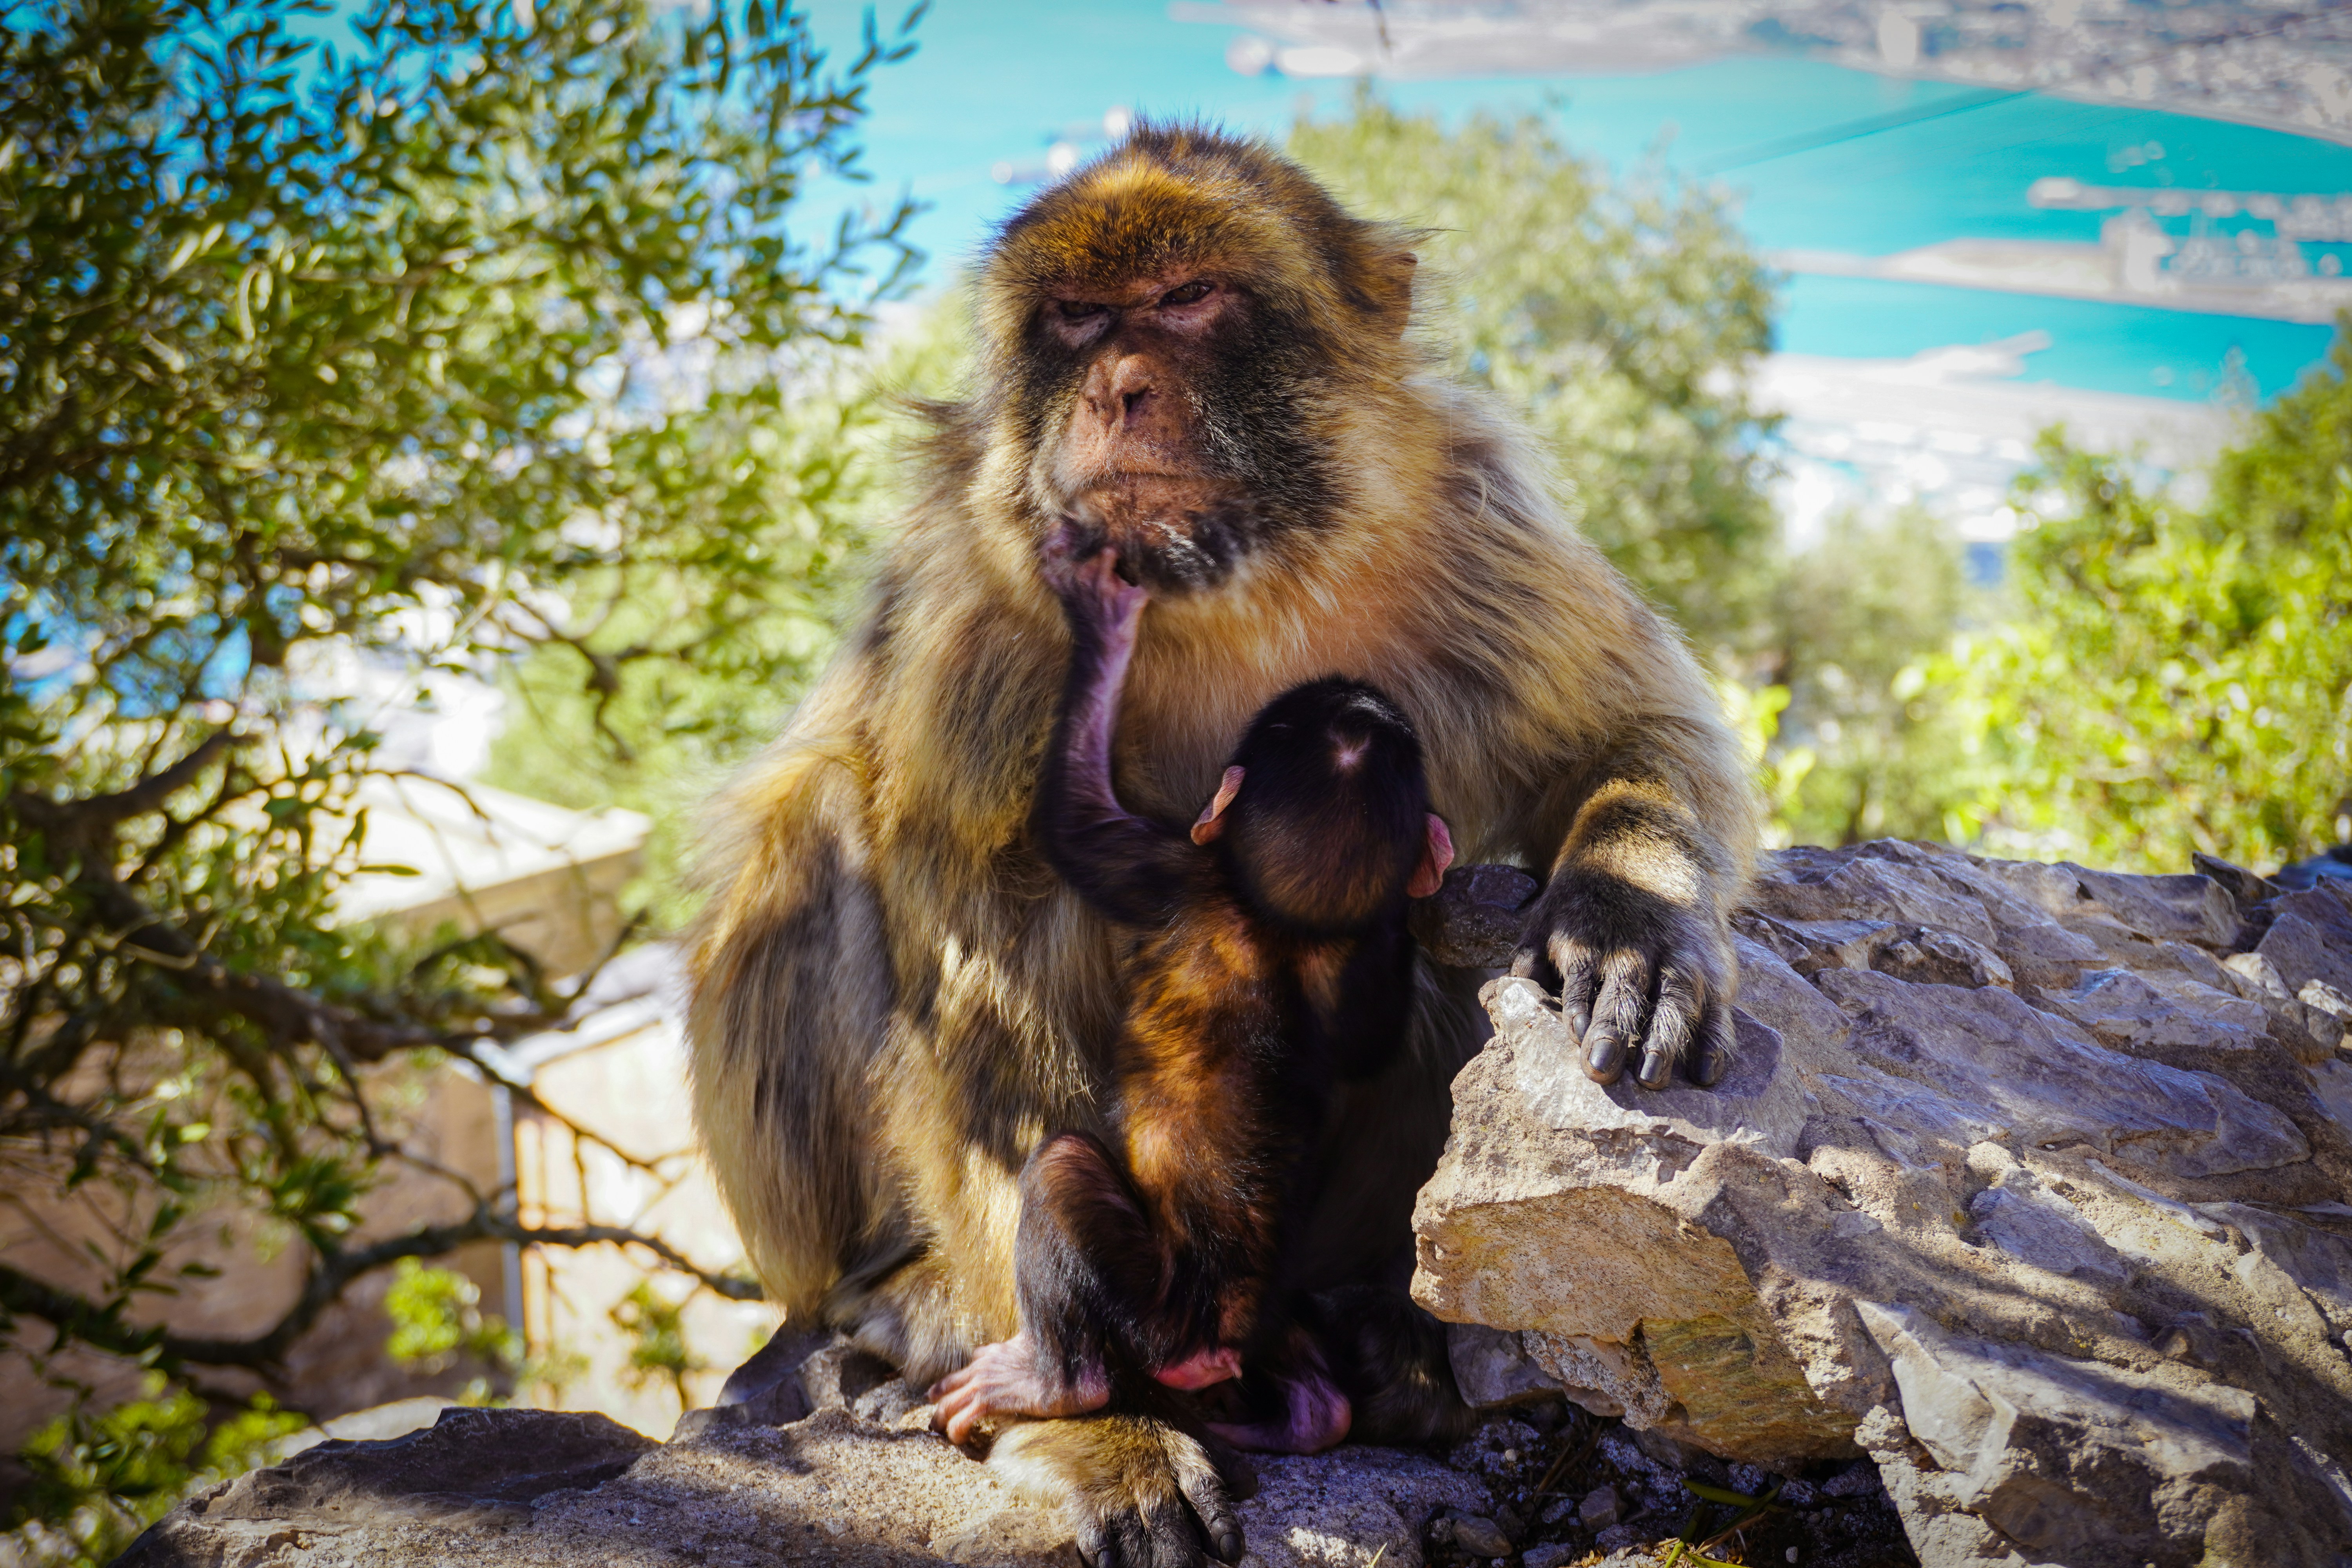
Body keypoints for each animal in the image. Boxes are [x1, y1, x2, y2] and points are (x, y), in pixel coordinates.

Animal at [926, 536, 1454, 1457]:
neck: (1285, 925)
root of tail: (1215, 1336)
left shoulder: (1171, 872)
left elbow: (1070, 822)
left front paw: (1103, 620)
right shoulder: (1343, 966)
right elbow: (1368, 1037)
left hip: (1153, 1310)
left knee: (1062, 1171)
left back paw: (1052, 1380)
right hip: (1270, 1324)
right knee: (1316, 1384)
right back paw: (1309, 1411)